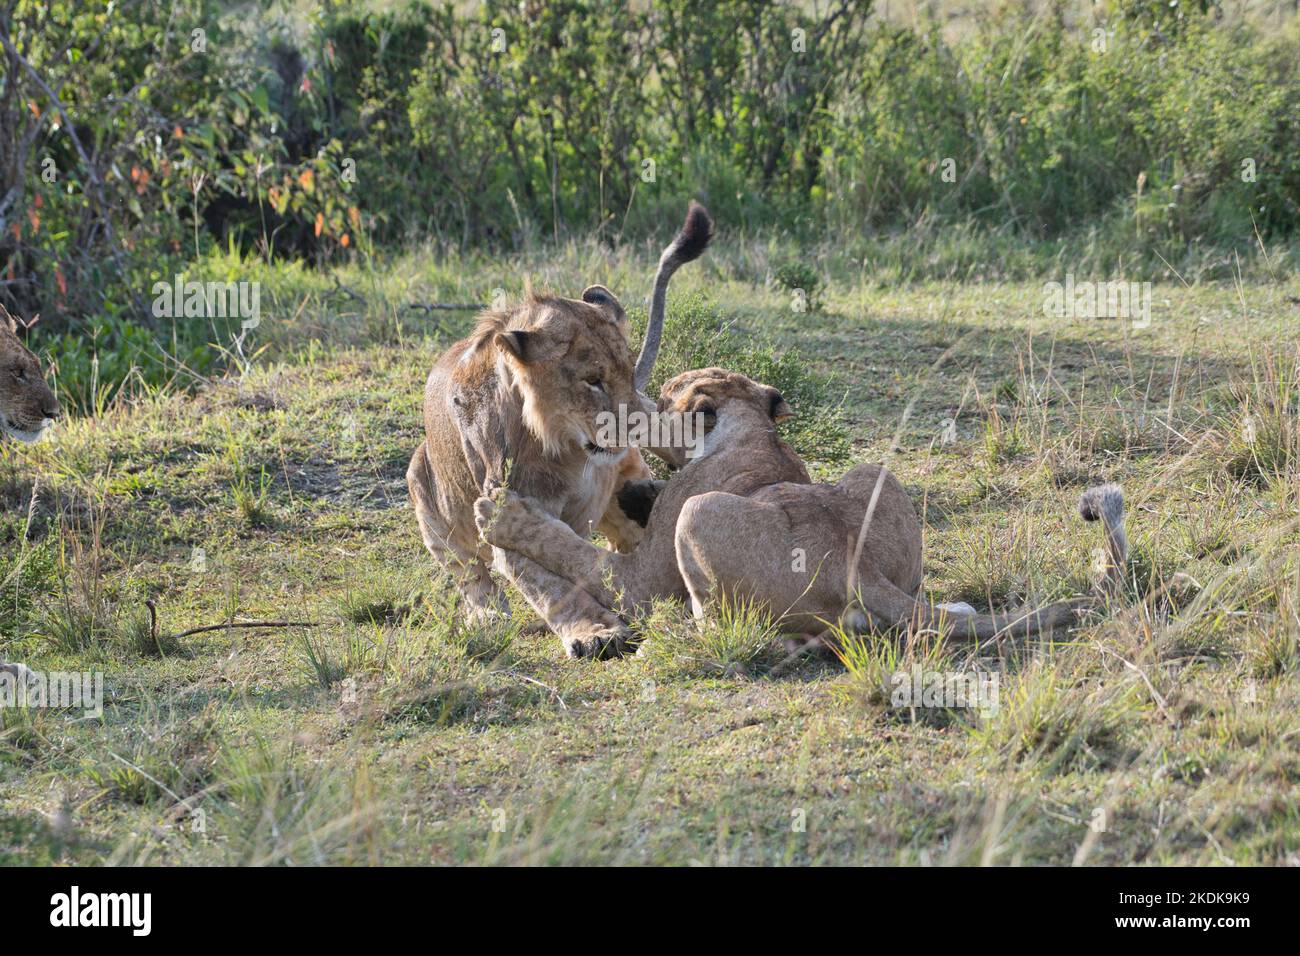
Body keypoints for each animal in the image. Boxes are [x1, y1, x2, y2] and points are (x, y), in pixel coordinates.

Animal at [407, 203, 713, 658]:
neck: (562, 449)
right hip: (422, 484)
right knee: (471, 575)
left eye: (625, 373)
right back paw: (488, 616)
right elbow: (547, 583)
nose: (634, 423)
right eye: (592, 381)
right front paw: (595, 632)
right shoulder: (497, 508)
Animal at [473, 367, 1128, 649]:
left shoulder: (643, 571)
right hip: (875, 474)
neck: (753, 428)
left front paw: (502, 515)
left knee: (719, 623)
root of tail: (853, 564)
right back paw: (953, 606)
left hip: (699, 517)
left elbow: (573, 550)